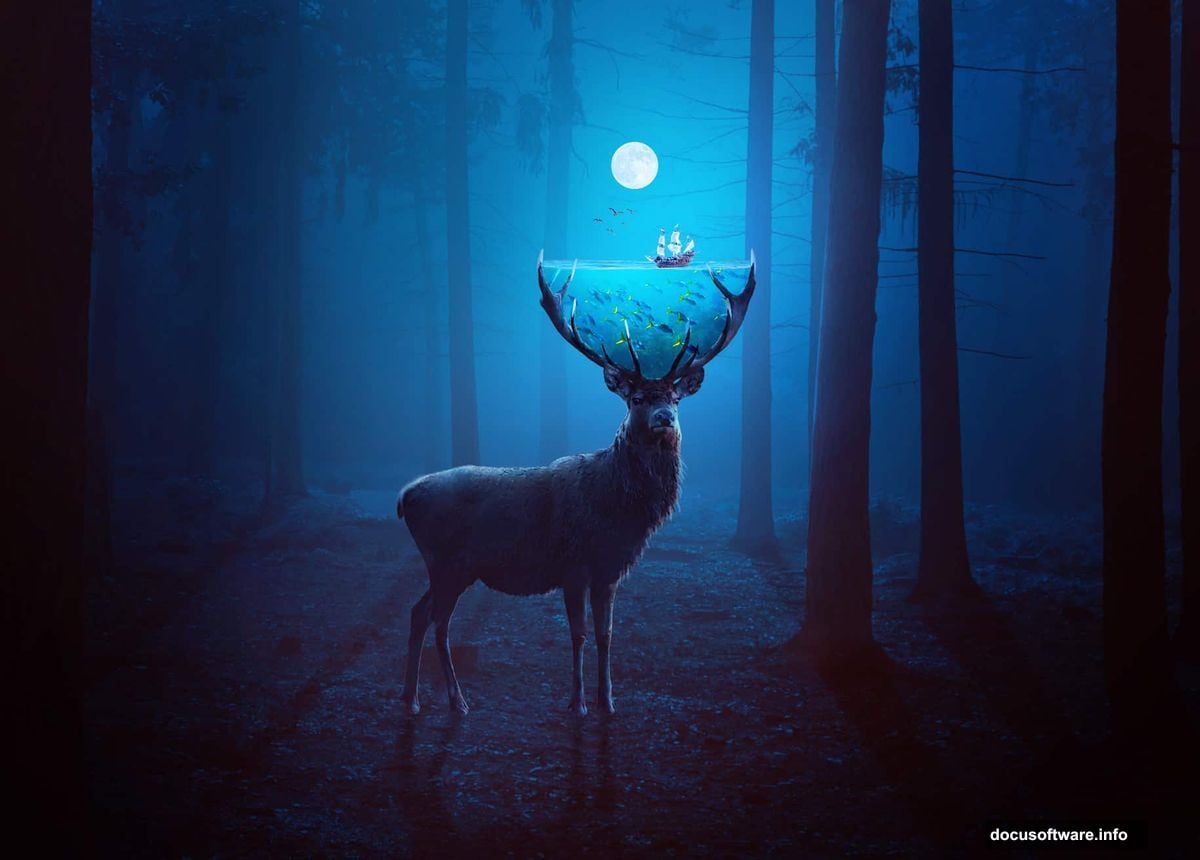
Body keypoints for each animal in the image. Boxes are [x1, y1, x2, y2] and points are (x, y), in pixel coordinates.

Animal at [396, 251, 755, 716]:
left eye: (675, 399)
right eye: (636, 399)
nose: (664, 419)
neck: (616, 511)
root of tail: (403, 497)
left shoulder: (610, 570)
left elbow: (606, 635)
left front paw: (609, 702)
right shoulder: (573, 564)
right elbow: (578, 634)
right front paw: (577, 703)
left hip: (452, 567)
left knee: (420, 613)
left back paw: (413, 699)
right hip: (446, 560)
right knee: (436, 619)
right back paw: (455, 701)